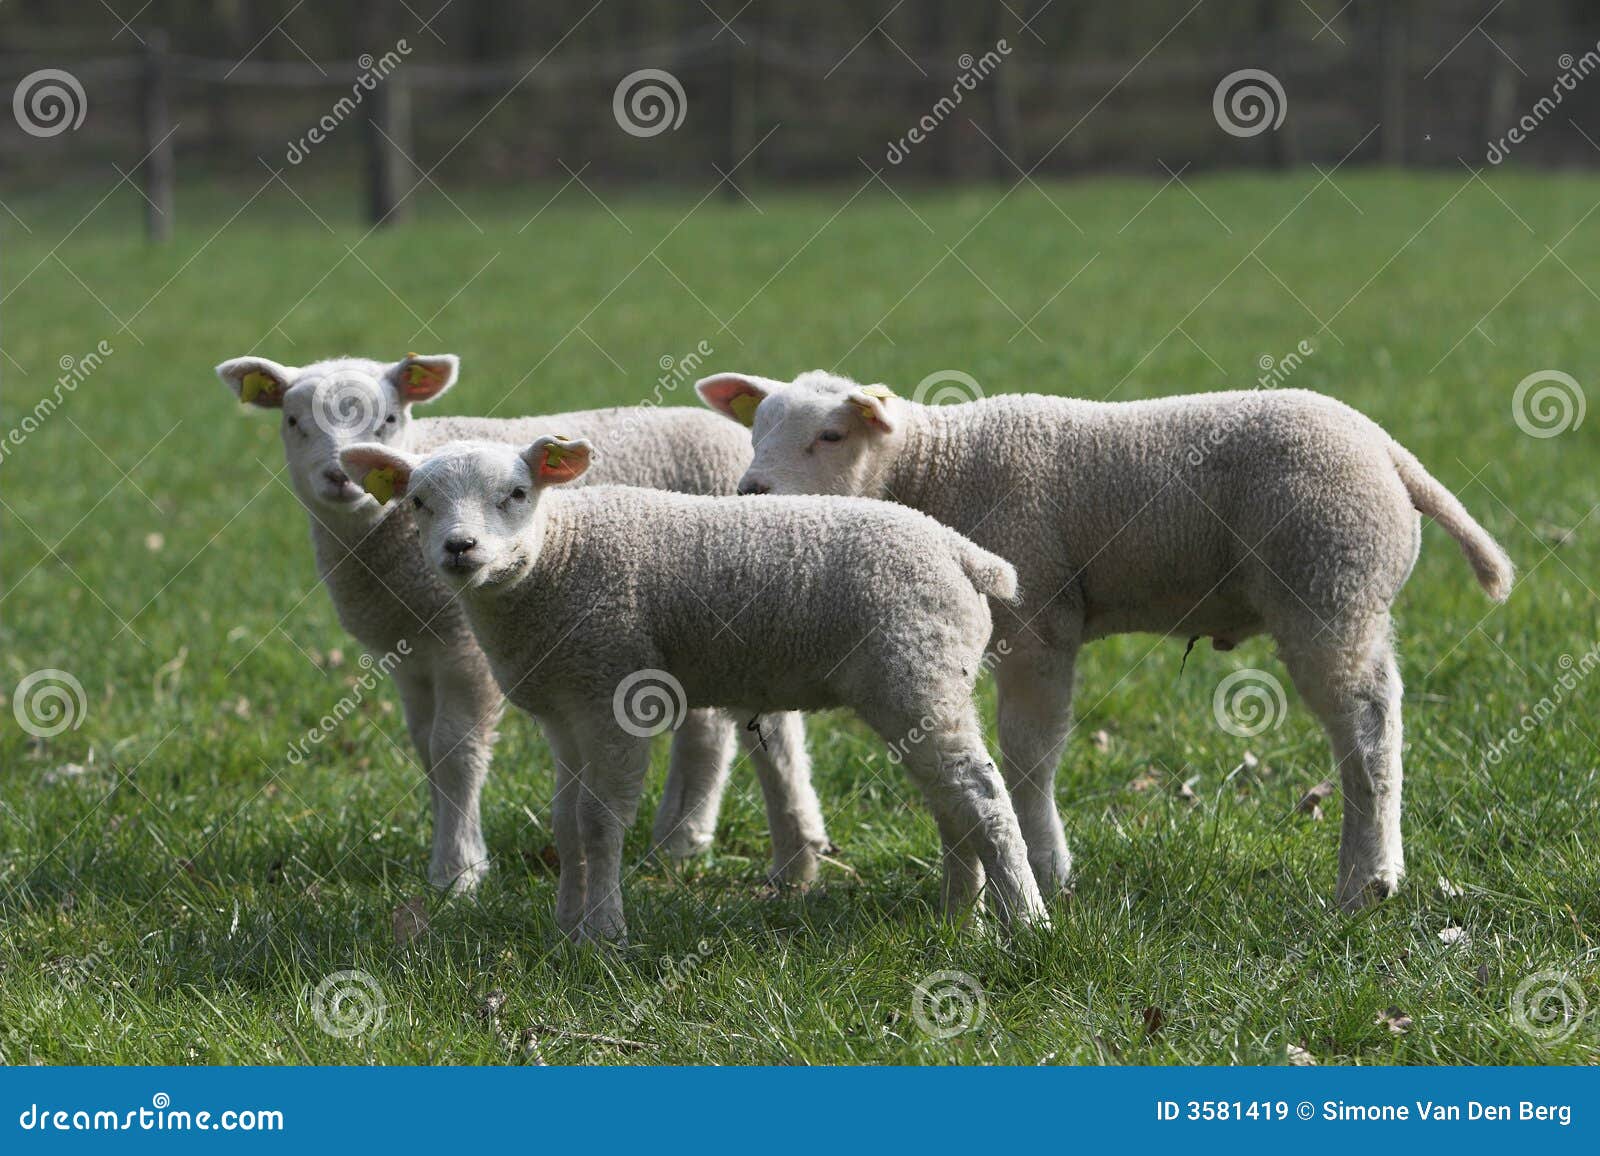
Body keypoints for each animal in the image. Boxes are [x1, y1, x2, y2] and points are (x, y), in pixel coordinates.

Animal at [215, 353, 826, 894]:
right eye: (293, 422)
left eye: (389, 419)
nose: (341, 476)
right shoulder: (406, 653)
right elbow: (424, 746)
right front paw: (447, 847)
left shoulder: (463, 644)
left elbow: (453, 748)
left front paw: (458, 871)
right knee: (704, 727)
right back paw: (680, 841)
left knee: (760, 730)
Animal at [337, 435, 1048, 943]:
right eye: (418, 502)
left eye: (515, 492)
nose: (460, 548)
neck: (556, 557)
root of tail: (962, 553)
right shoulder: (565, 711)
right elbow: (565, 821)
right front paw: (565, 924)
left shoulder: (611, 690)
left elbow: (599, 820)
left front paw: (603, 934)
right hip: (921, 683)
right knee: (950, 800)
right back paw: (958, 919)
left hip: (919, 669)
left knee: (981, 794)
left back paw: (1028, 922)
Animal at [696, 370, 1515, 912]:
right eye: (755, 431)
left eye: (830, 435)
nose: (749, 494)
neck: (934, 469)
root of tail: (1389, 452)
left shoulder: (1039, 620)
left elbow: (1030, 755)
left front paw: (1049, 871)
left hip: (1330, 584)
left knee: (1369, 729)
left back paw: (1368, 880)